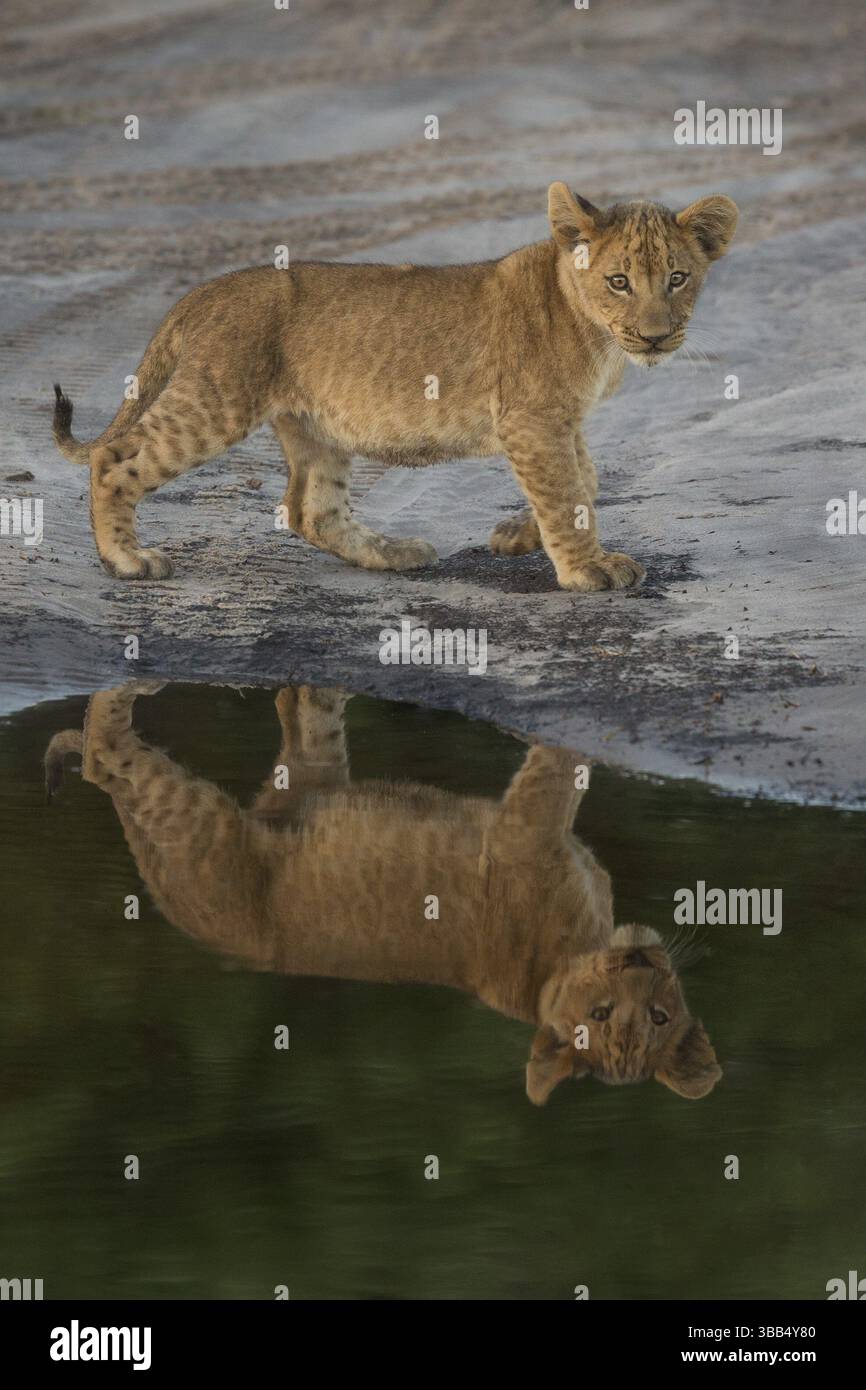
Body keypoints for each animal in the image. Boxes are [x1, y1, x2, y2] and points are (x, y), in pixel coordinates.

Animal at [44, 682, 720, 1103]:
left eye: (659, 1017)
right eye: (600, 1015)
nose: (638, 961)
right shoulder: (524, 829)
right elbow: (562, 766)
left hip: (296, 781)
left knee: (297, 710)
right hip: (194, 823)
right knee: (104, 758)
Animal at [52, 182, 736, 591]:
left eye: (677, 278)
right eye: (620, 281)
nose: (655, 337)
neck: (593, 331)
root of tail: (206, 289)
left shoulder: (558, 422)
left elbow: (583, 481)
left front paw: (514, 537)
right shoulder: (533, 421)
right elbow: (566, 491)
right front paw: (586, 570)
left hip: (313, 425)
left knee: (311, 510)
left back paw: (393, 552)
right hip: (216, 399)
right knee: (115, 461)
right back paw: (127, 560)